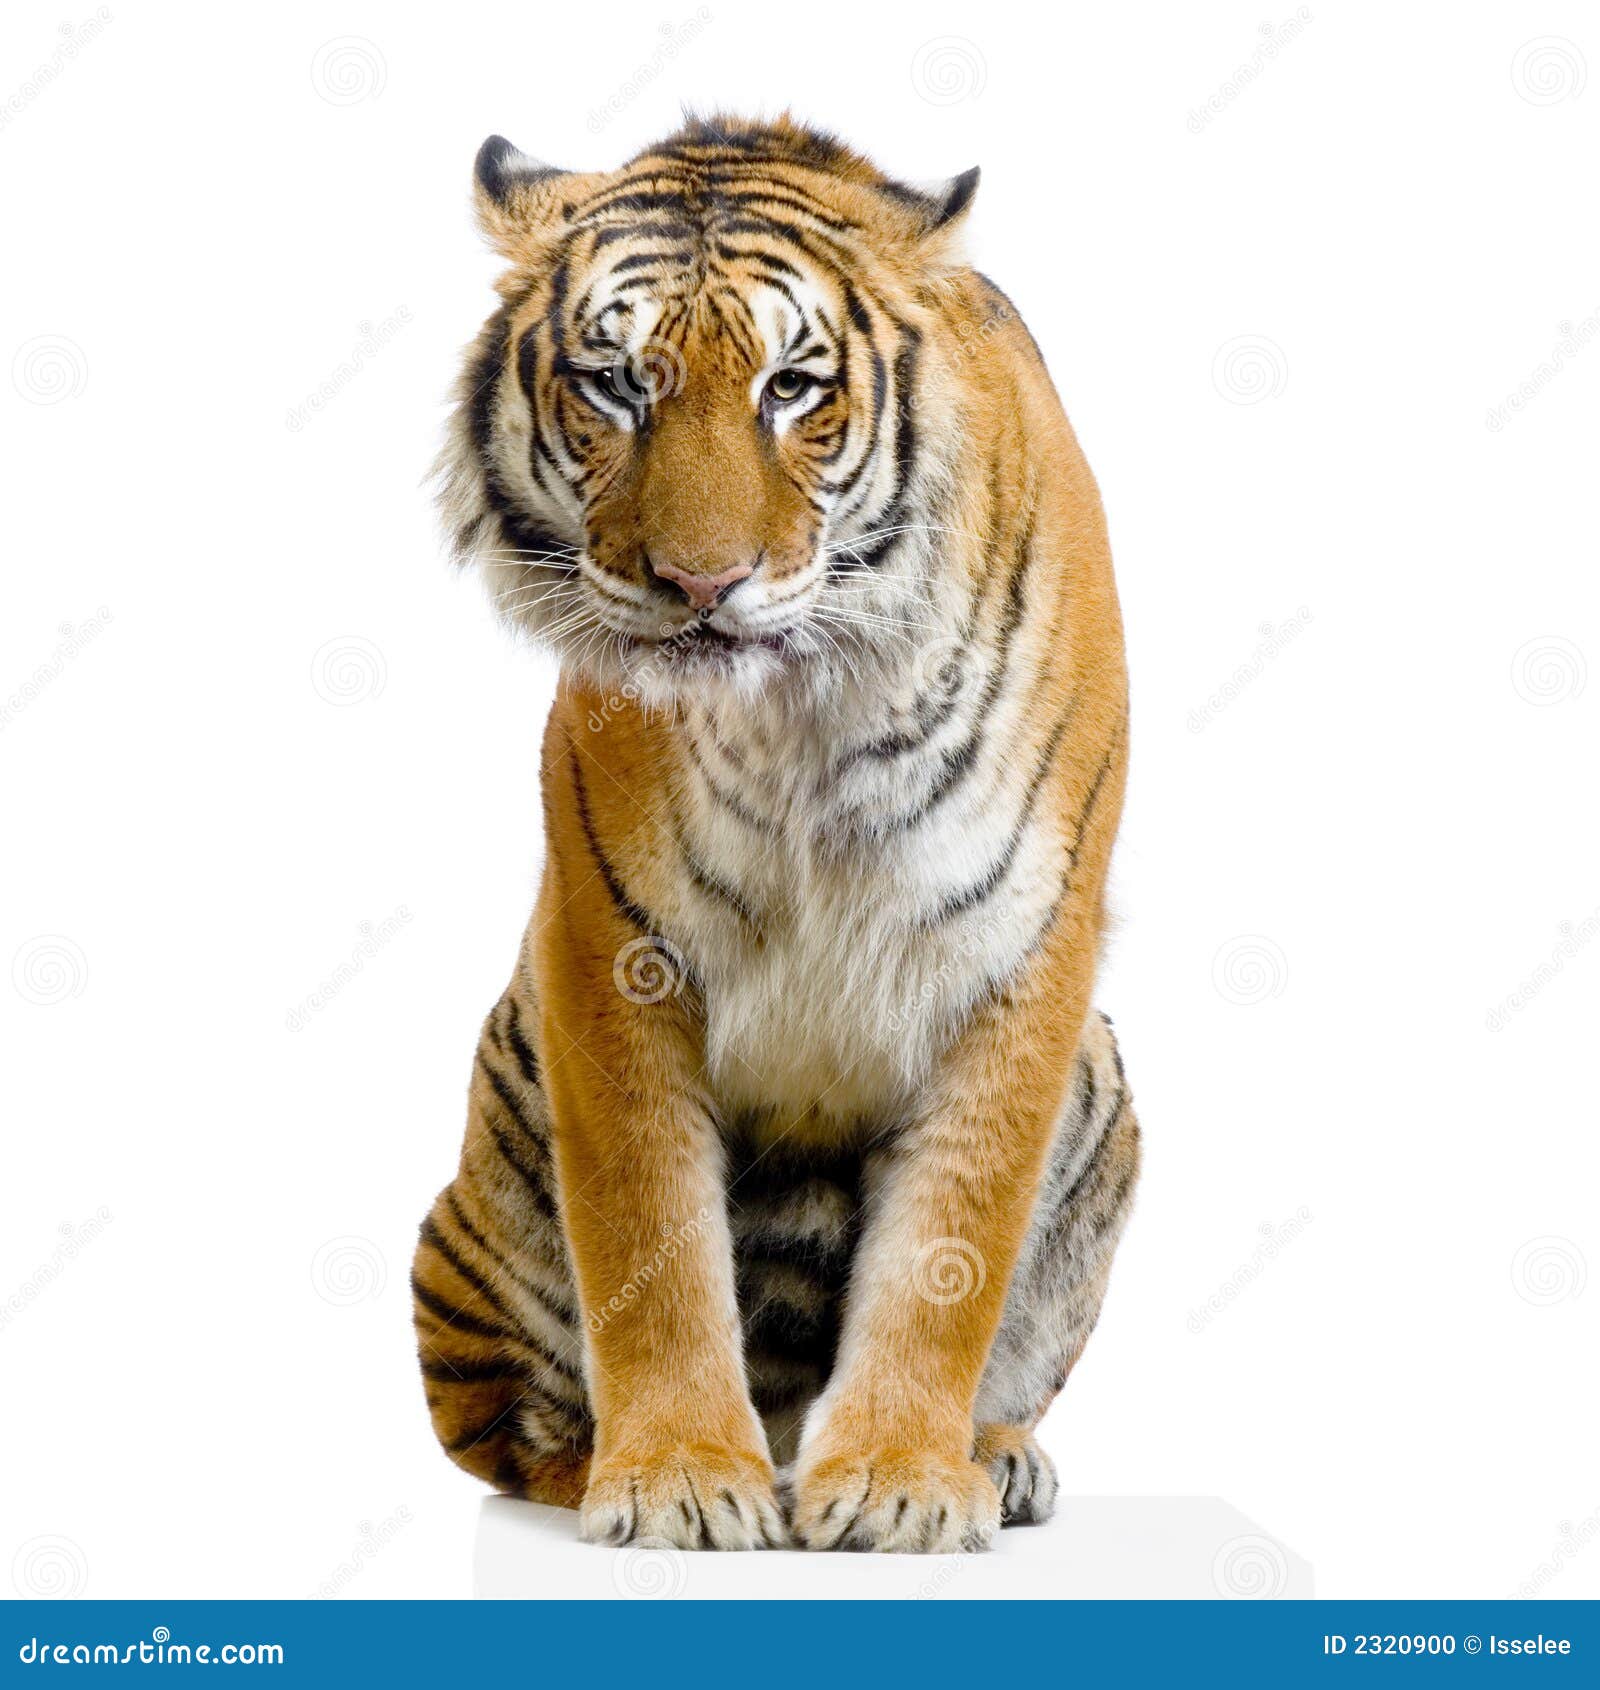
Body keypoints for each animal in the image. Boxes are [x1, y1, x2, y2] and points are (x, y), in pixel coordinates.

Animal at [412, 113, 1139, 1554]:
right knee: (507, 1427)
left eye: (793, 388)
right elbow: (650, 1239)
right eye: (615, 385)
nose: (701, 584)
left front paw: (904, 1481)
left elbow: (950, 1248)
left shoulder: (1022, 958)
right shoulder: (611, 951)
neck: (809, 706)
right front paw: (682, 1477)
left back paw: (995, 1457)